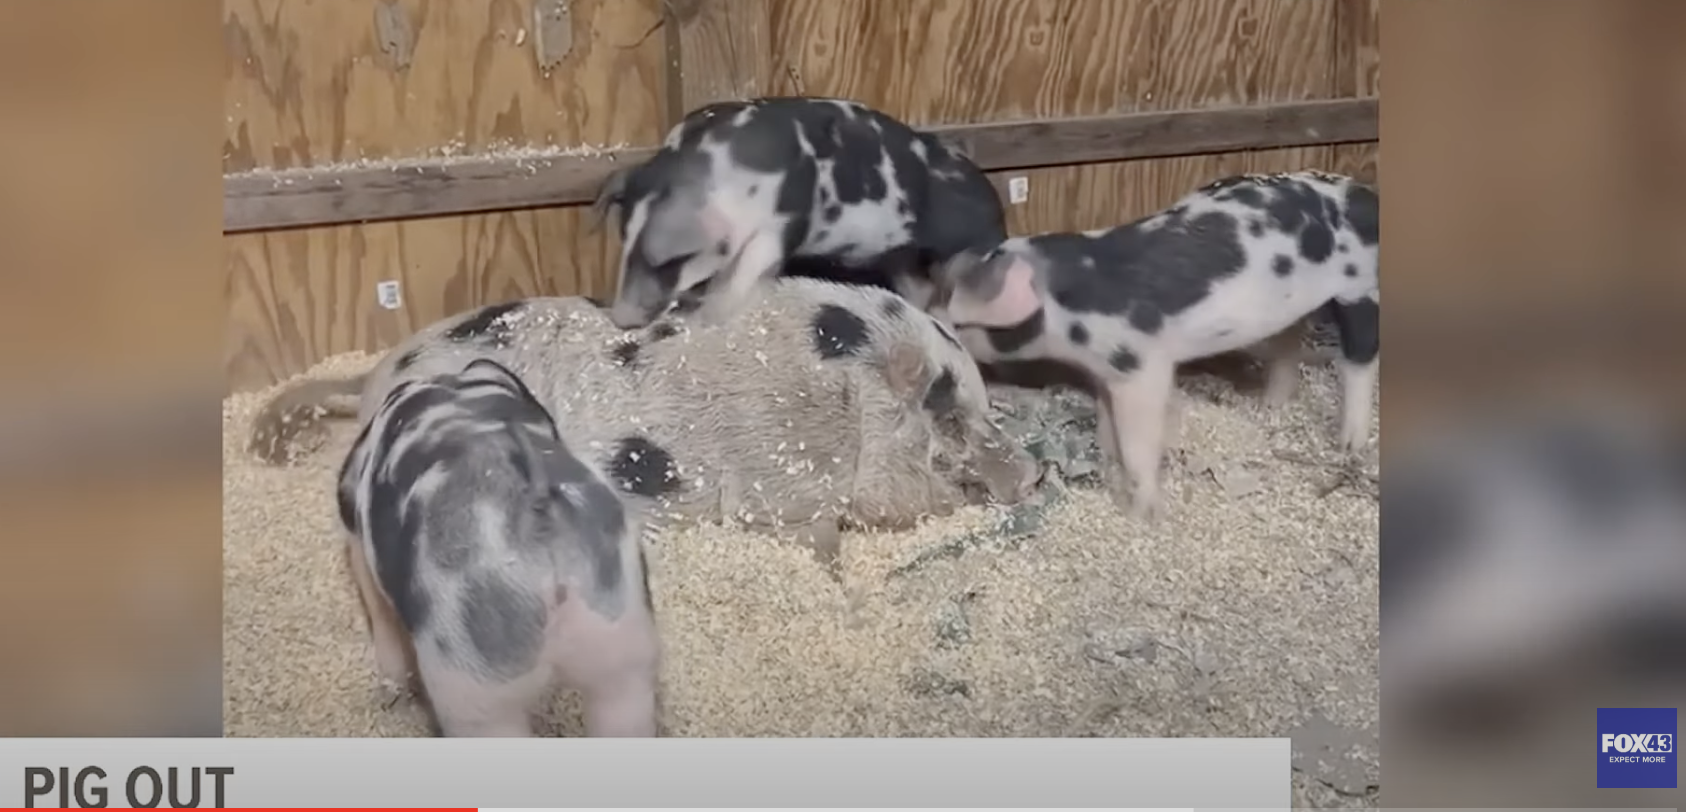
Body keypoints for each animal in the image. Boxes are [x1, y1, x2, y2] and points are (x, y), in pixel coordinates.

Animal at [251, 277, 1041, 572]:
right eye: (948, 413)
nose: (1034, 473)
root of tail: (382, 375)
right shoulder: (773, 488)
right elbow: (816, 537)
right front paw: (832, 567)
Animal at [591, 96, 1007, 329]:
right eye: (624, 243)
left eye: (672, 261)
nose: (621, 318)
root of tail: (996, 203)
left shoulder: (786, 218)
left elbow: (747, 271)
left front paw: (705, 317)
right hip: (900, 261)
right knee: (921, 292)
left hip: (967, 251)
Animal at [927, 171, 1380, 520]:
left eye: (960, 319)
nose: (934, 321)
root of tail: (1366, 194)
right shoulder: (1104, 369)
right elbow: (1107, 423)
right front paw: (1109, 468)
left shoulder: (1140, 364)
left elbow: (1139, 439)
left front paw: (1144, 515)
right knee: (1288, 343)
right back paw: (1272, 406)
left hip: (1360, 289)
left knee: (1361, 361)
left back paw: (1350, 445)